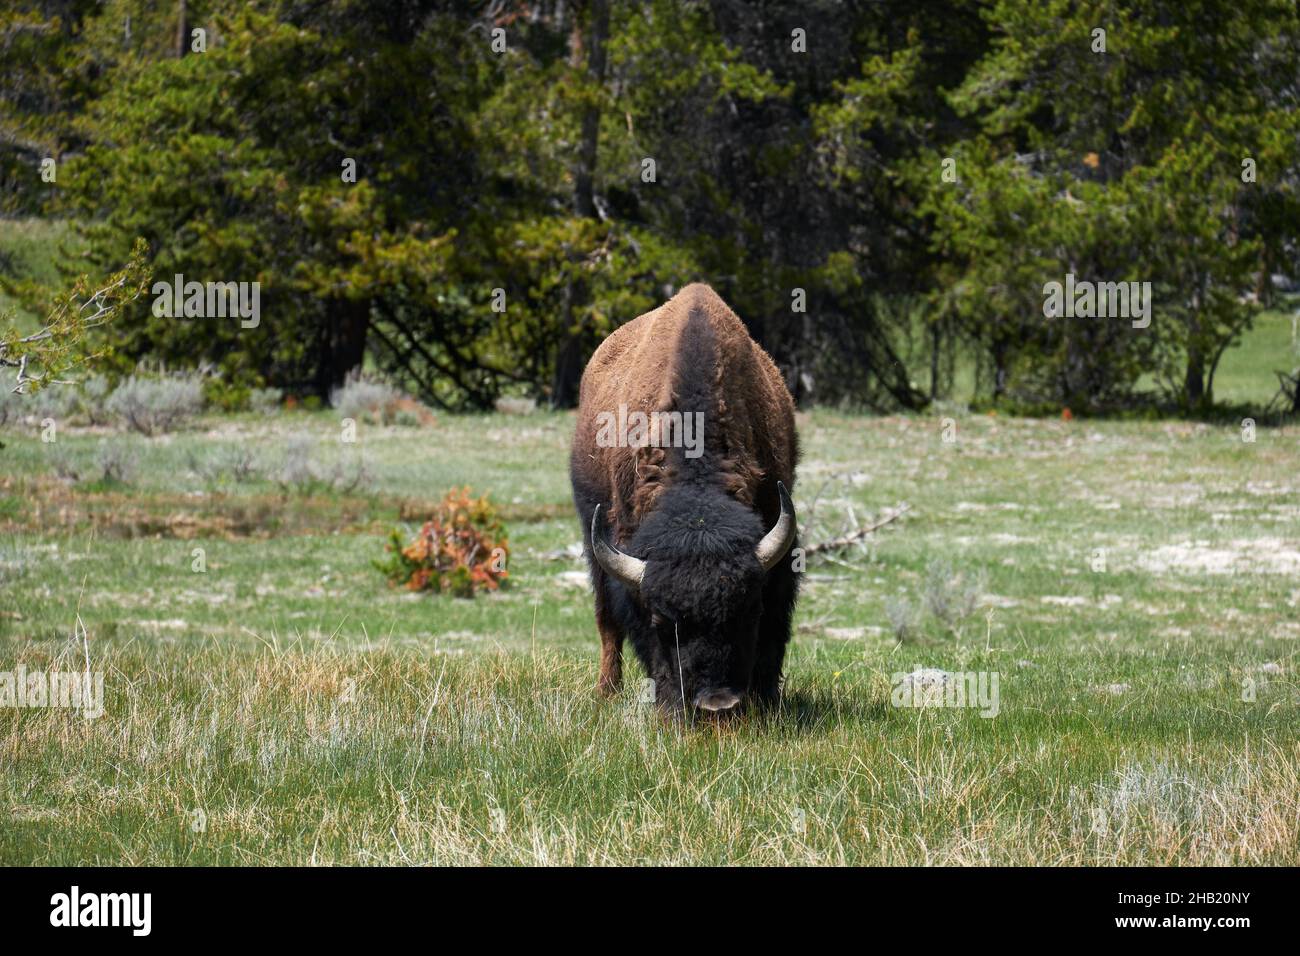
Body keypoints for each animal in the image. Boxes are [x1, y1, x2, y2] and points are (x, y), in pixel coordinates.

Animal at [570, 284, 800, 715]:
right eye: (663, 623)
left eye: (750, 612)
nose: (717, 703)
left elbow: (775, 632)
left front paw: (767, 700)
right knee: (606, 618)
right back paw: (606, 690)